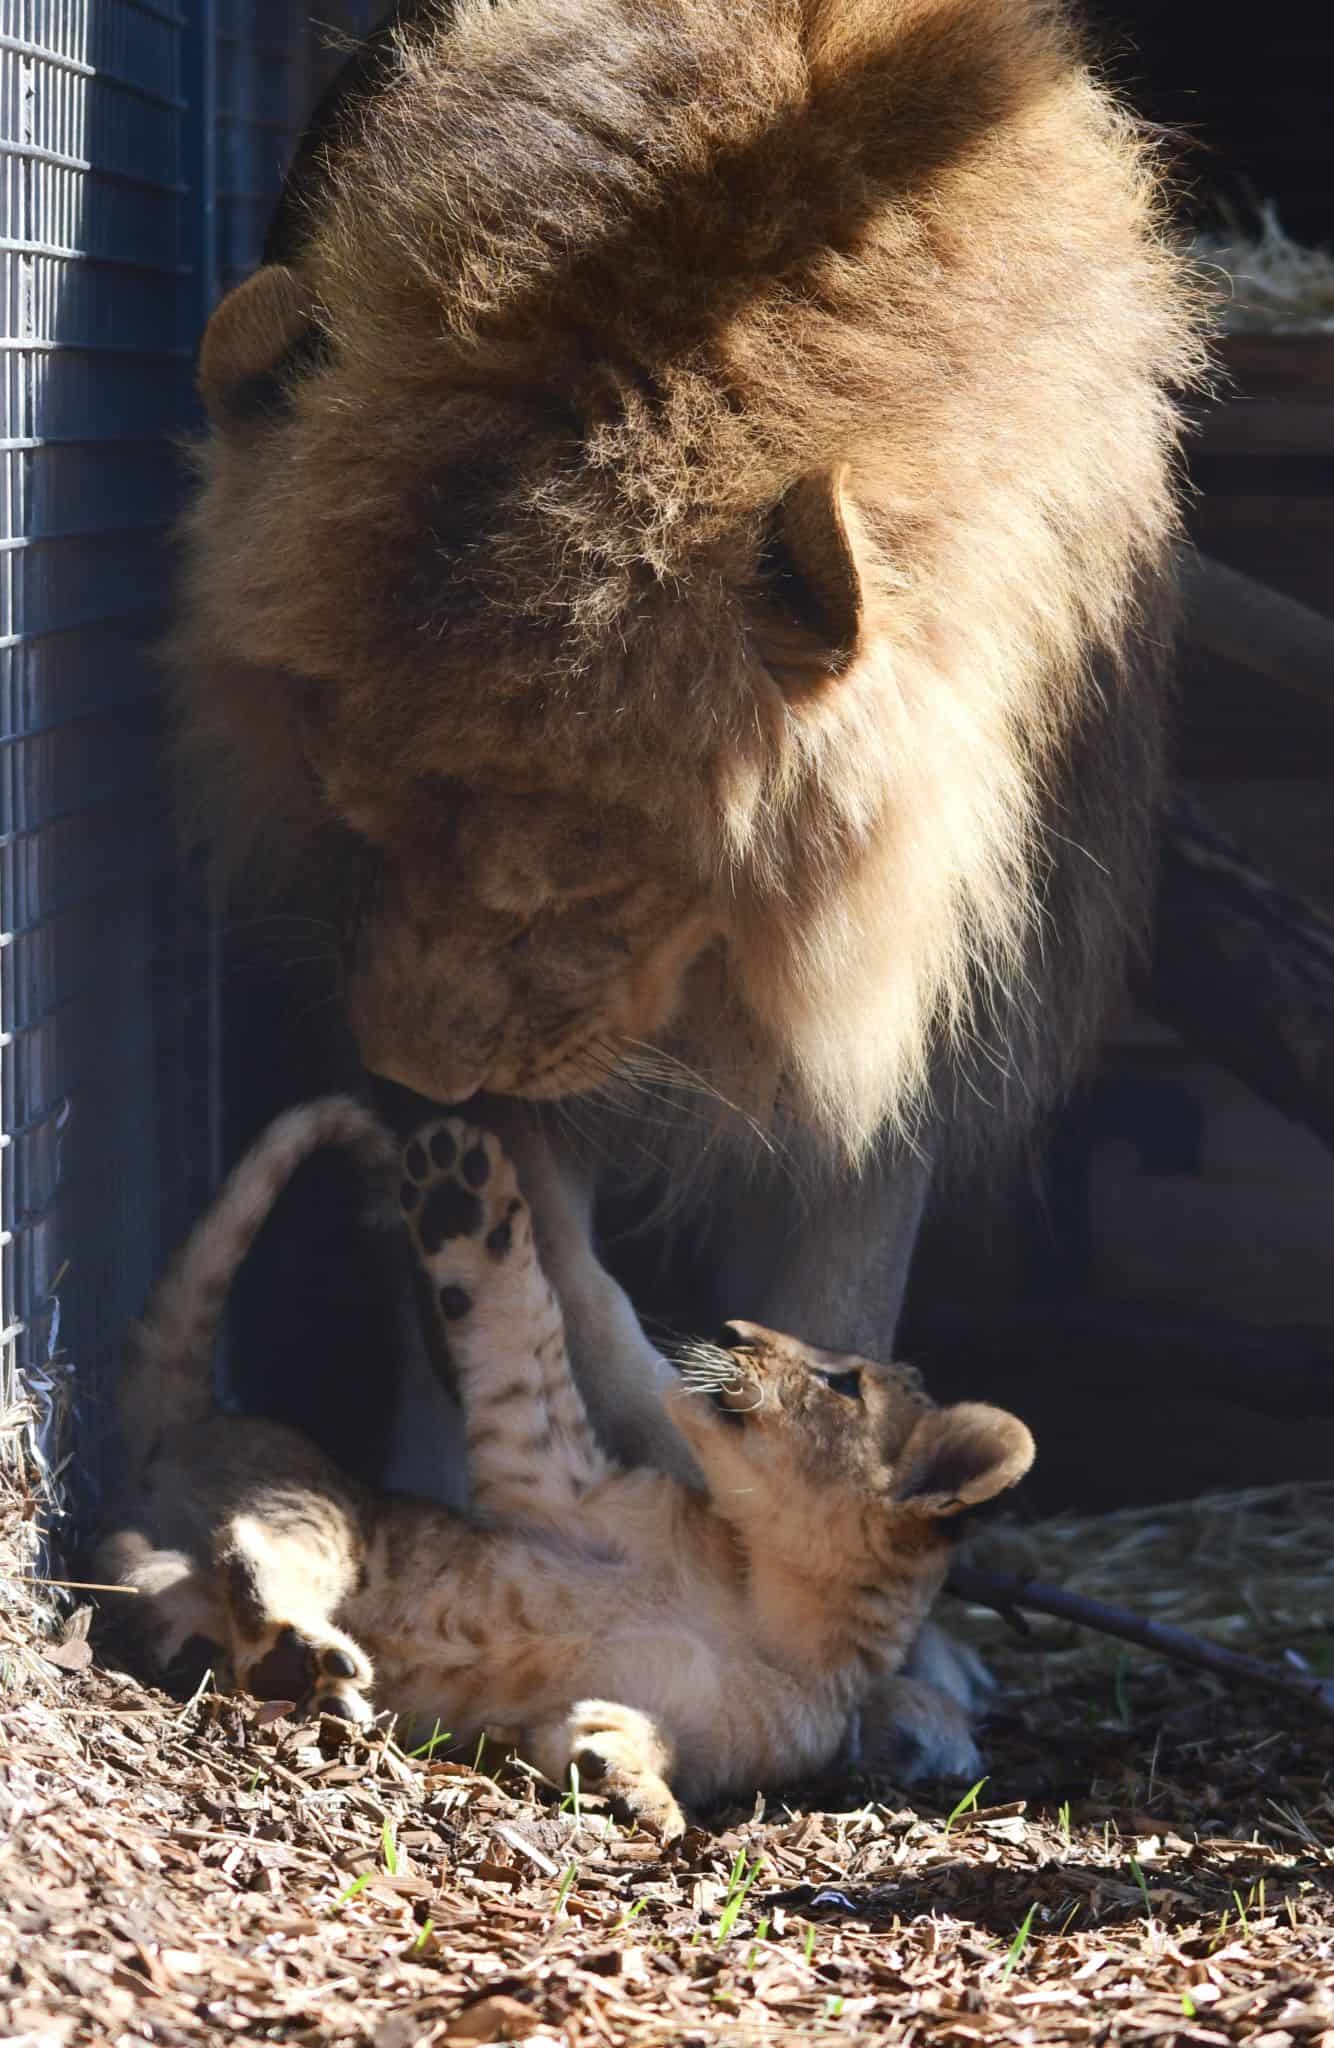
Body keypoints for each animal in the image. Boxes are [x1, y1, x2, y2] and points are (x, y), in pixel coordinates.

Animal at [172, 0, 1205, 1775]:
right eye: (356, 814)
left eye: (589, 870)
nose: (406, 1077)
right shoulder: (477, 1021)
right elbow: (564, 1290)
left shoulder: (897, 1014)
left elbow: (842, 1283)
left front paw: (887, 1633)